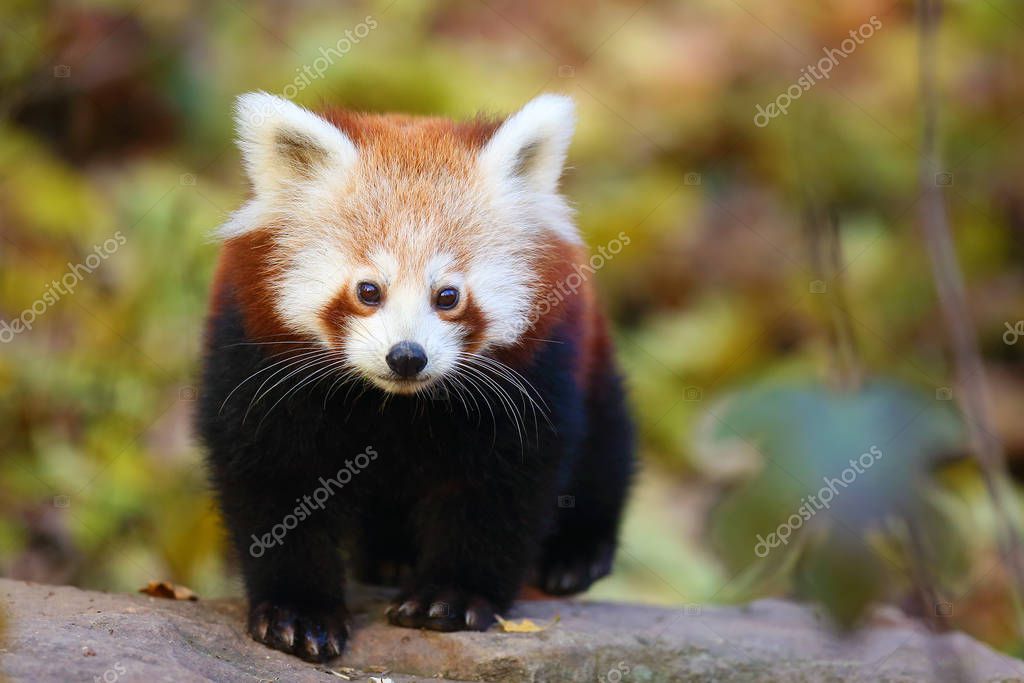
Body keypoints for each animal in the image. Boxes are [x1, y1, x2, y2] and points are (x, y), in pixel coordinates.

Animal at [197, 92, 635, 661]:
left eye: (447, 296)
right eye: (368, 291)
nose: (407, 356)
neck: (395, 402)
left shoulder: (535, 370)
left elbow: (502, 487)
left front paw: (451, 596)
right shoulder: (254, 355)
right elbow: (275, 478)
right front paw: (298, 612)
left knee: (606, 445)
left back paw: (576, 555)